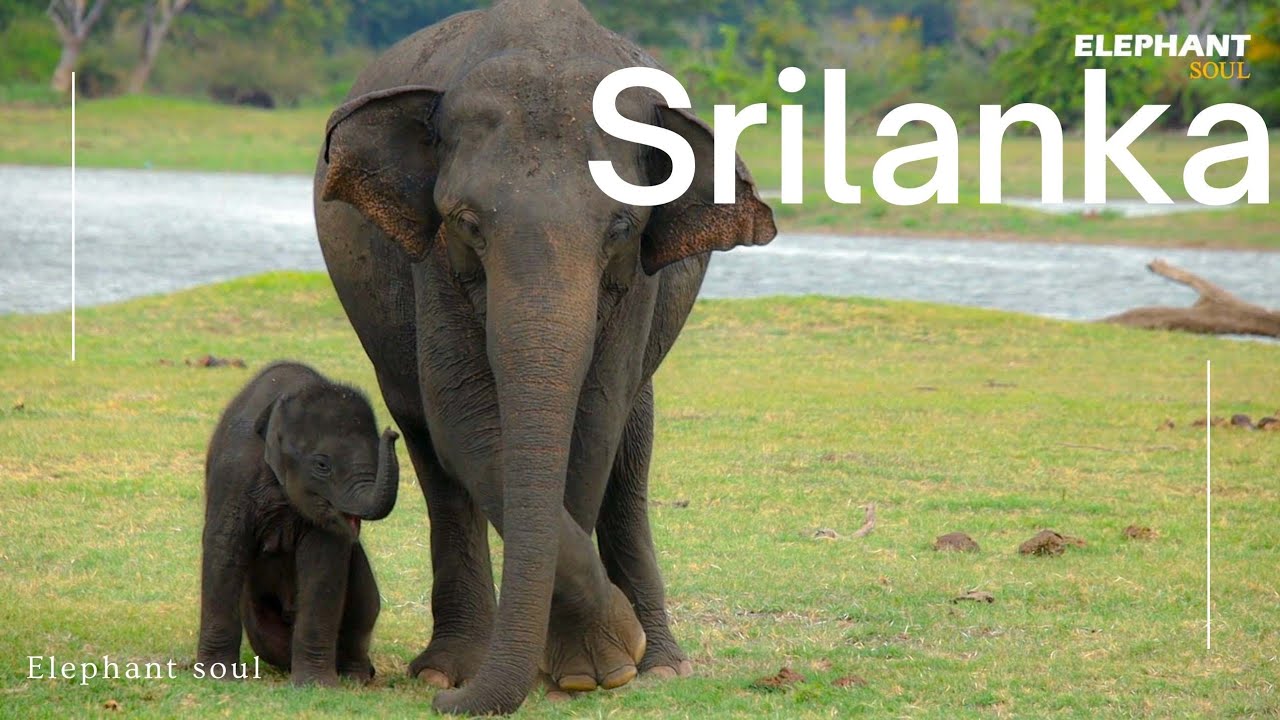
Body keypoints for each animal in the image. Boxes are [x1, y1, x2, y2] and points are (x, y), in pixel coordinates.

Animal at [196, 361, 400, 686]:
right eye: (322, 465)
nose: (392, 432)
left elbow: (323, 561)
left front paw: (316, 685)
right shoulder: (234, 474)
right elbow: (224, 546)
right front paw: (218, 677)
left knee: (366, 605)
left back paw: (356, 676)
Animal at [314, 0, 776, 713]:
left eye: (621, 227)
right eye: (468, 222)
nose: (446, 709)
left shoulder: (636, 284)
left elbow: (594, 418)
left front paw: (591, 670)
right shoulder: (433, 260)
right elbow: (463, 414)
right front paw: (582, 661)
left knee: (630, 446)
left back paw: (662, 666)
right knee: (431, 449)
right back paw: (448, 670)